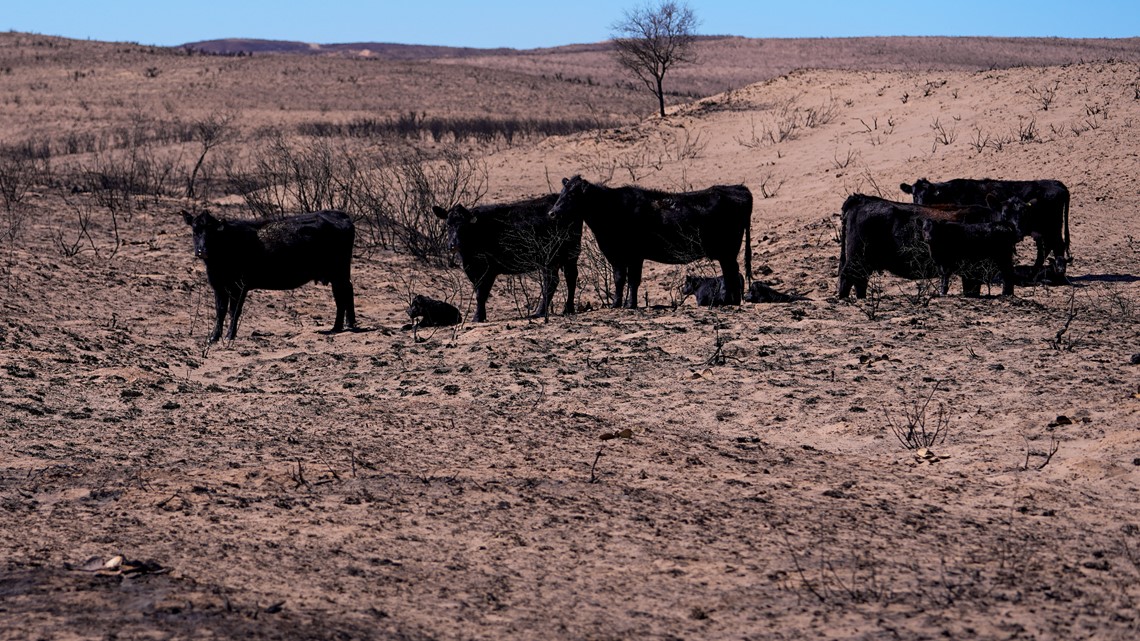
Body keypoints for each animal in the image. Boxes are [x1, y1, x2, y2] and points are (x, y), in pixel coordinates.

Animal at [183, 209, 356, 342]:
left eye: (212, 233)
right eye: (195, 231)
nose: (202, 250)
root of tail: (340, 215)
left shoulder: (240, 287)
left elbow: (234, 310)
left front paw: (230, 335)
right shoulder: (218, 286)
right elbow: (220, 311)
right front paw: (213, 337)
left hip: (339, 272)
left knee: (344, 293)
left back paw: (339, 327)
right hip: (337, 274)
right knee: (344, 293)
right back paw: (344, 325)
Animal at [432, 194, 581, 322]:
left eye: (464, 226)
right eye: (448, 224)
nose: (453, 244)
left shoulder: (489, 270)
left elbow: (481, 293)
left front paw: (478, 318)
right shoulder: (472, 269)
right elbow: (478, 291)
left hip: (553, 257)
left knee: (551, 282)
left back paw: (540, 312)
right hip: (569, 257)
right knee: (570, 278)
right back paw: (568, 309)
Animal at [548, 175, 752, 308]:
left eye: (572, 195)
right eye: (561, 192)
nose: (552, 213)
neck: (613, 208)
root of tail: (738, 188)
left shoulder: (632, 255)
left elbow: (631, 279)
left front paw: (627, 304)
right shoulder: (617, 255)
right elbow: (620, 278)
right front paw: (619, 303)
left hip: (727, 251)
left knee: (731, 272)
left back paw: (728, 300)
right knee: (731, 272)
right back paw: (731, 300)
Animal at [837, 194, 1022, 299]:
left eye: (1024, 214)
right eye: (1004, 212)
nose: (1017, 232)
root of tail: (861, 199)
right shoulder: (972, 269)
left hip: (863, 262)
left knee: (859, 280)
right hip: (856, 257)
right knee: (847, 277)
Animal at [899, 178, 1070, 276]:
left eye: (929, 194)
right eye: (914, 194)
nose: (919, 204)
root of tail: (1056, 183)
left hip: (1052, 228)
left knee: (1057, 245)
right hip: (1042, 231)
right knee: (1045, 249)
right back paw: (1033, 271)